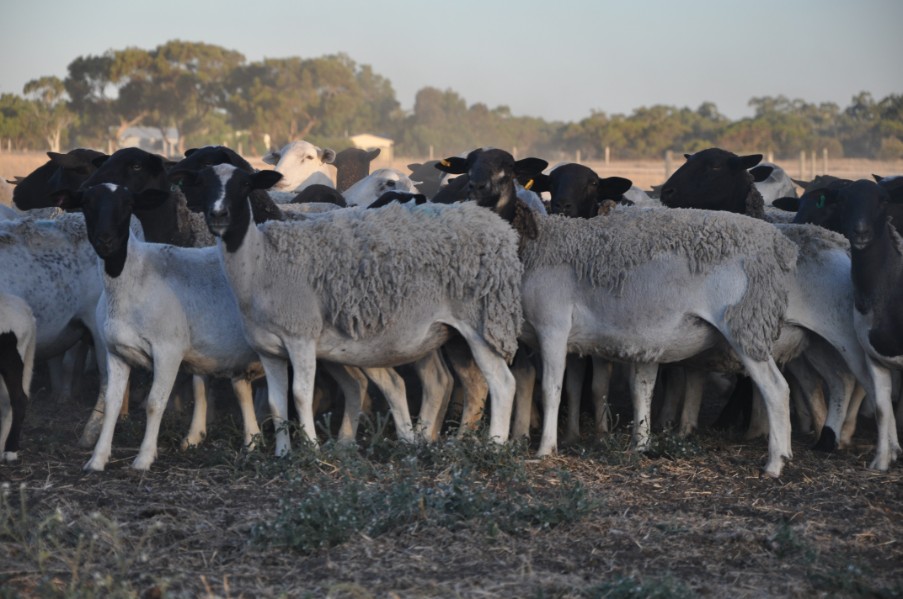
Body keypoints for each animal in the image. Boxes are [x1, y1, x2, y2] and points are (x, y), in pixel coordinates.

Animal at [177, 163, 522, 456]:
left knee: (502, 383)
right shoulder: (268, 350)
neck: (261, 263)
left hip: (483, 321)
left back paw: (495, 445)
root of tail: (500, 229)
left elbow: (300, 394)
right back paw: (422, 440)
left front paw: (311, 450)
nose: (218, 215)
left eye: (245, 185)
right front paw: (283, 453)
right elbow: (277, 402)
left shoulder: (301, 337)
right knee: (441, 381)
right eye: (205, 184)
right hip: (433, 331)